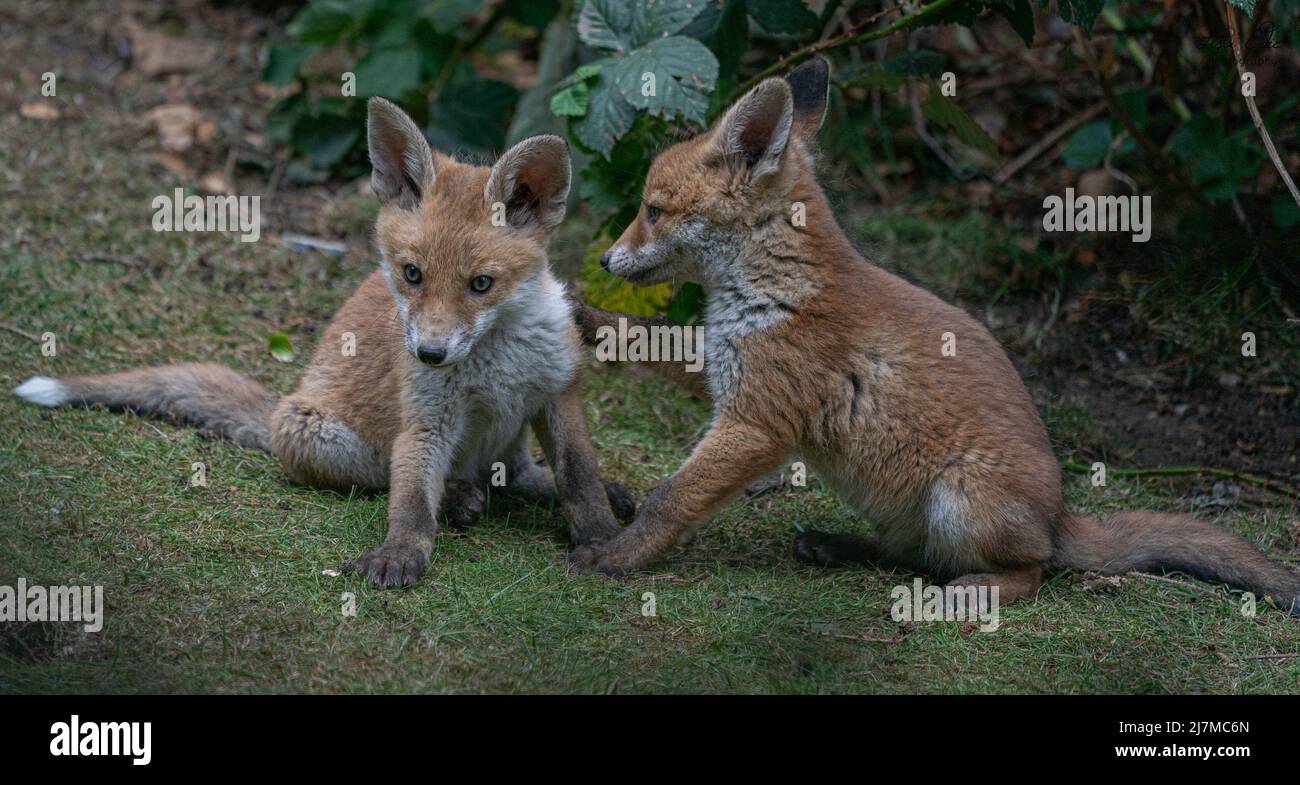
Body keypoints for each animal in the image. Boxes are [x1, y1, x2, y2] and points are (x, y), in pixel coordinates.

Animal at [14, 97, 632, 587]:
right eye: (411, 274)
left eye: (481, 284)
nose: (429, 355)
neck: (496, 360)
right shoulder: (426, 419)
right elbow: (411, 503)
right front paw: (401, 551)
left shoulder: (558, 393)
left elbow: (579, 478)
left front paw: (603, 538)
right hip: (316, 433)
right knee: (405, 478)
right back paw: (460, 495)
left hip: (508, 438)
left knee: (524, 477)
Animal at [566, 57, 1300, 615]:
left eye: (652, 210)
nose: (603, 259)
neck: (770, 286)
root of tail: (1059, 517)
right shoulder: (725, 369)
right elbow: (647, 336)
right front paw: (585, 316)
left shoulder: (757, 422)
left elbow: (669, 501)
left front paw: (613, 556)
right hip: (907, 512)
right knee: (907, 554)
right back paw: (837, 546)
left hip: (962, 502)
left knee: (1030, 574)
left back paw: (963, 594)